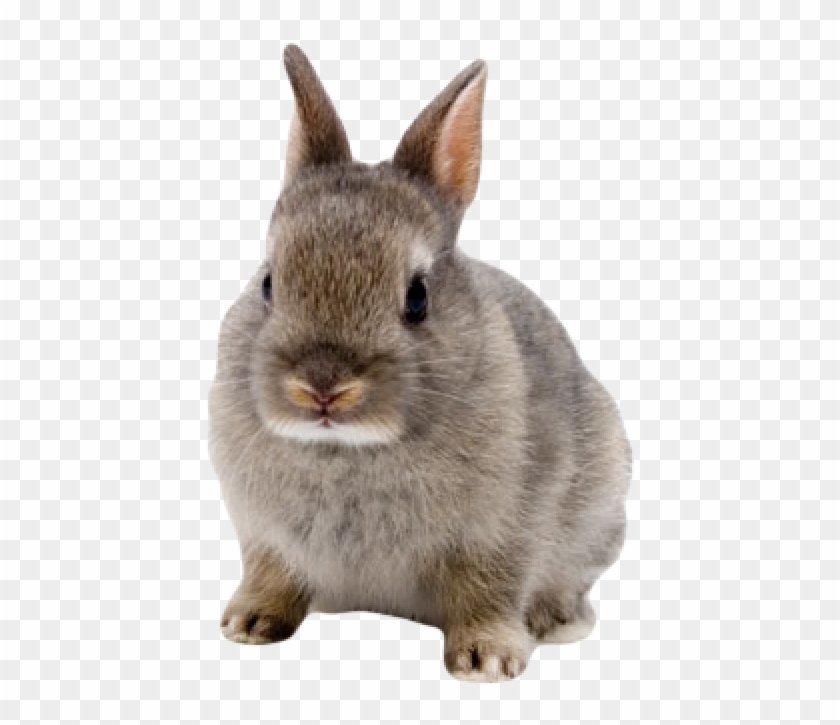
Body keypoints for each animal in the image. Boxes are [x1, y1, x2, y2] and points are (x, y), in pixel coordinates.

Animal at [208, 44, 631, 682]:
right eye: (268, 284)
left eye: (418, 297)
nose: (323, 387)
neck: (349, 449)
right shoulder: (264, 536)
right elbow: (271, 575)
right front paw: (249, 625)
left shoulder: (502, 533)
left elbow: (490, 590)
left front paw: (486, 660)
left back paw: (559, 621)